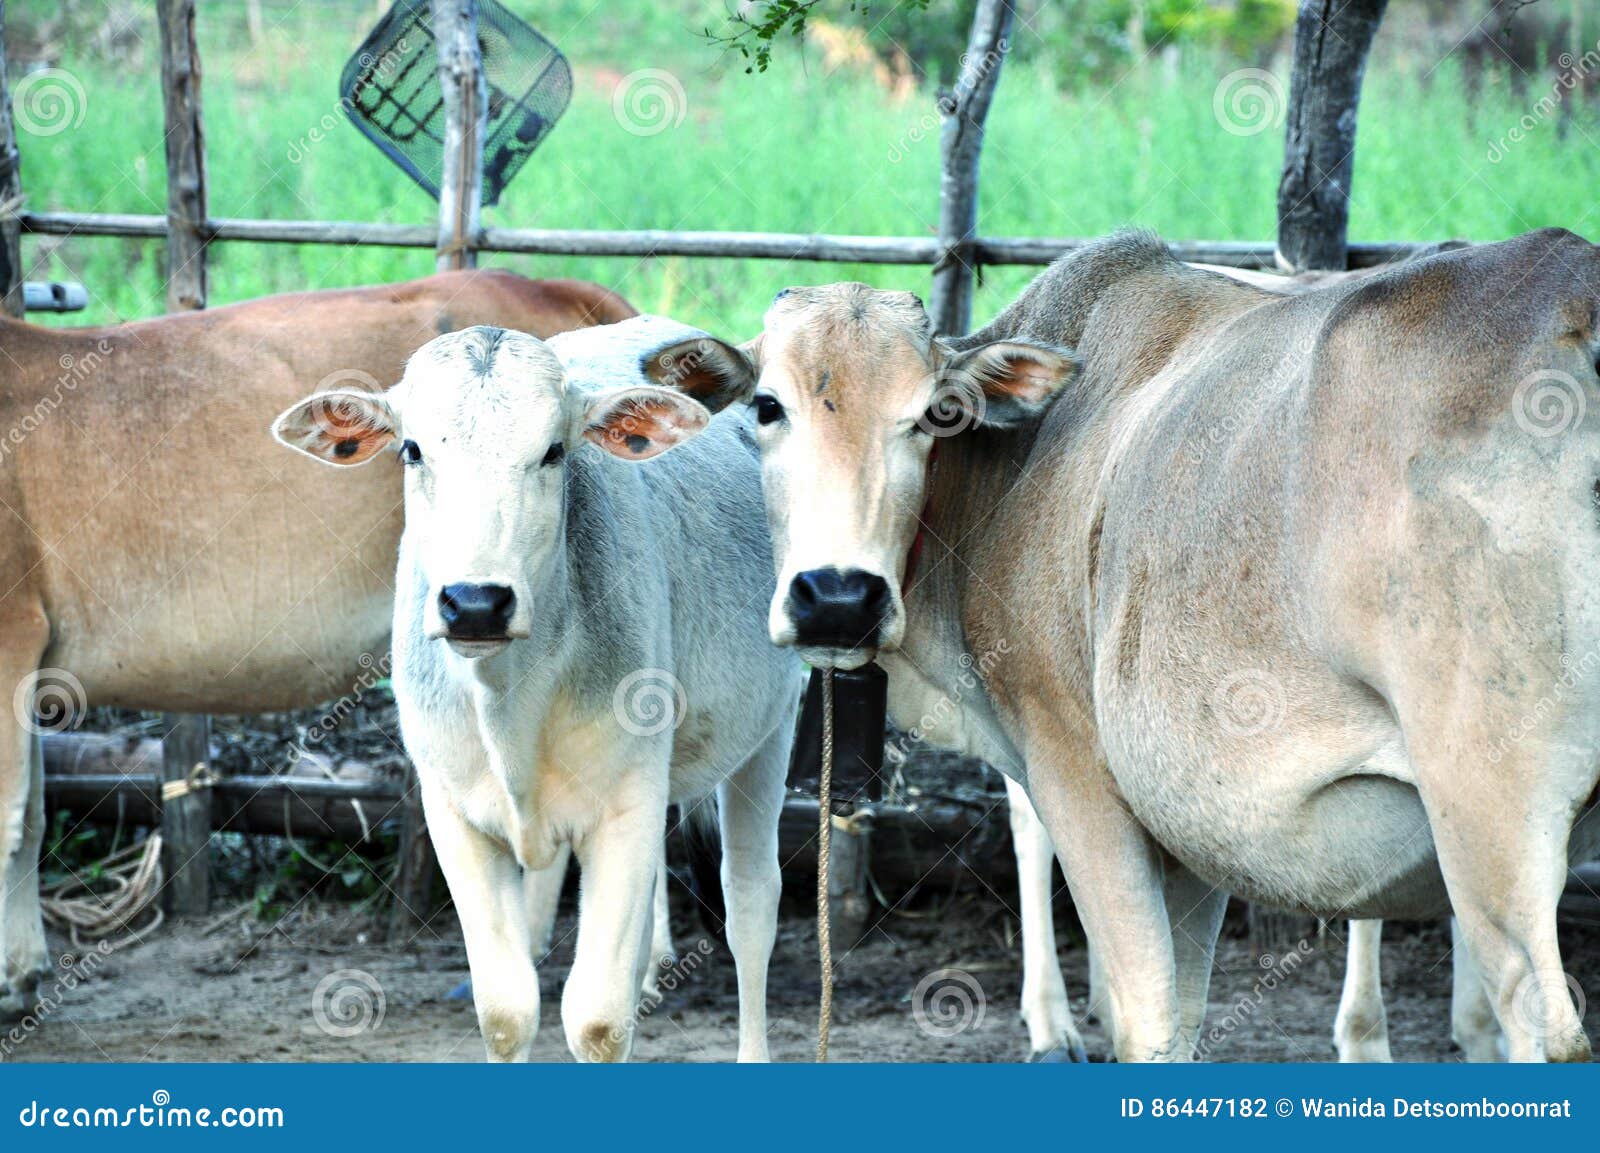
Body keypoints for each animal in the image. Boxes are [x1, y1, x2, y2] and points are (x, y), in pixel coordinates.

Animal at [0, 271, 632, 1021]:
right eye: (412, 449)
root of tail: (541, 281)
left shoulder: (10, 634)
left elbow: (7, 824)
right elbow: (34, 816)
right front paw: (23, 975)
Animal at [272, 317, 801, 1063]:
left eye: (553, 452)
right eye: (411, 449)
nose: (474, 603)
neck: (511, 701)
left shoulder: (625, 803)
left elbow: (598, 1020)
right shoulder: (455, 814)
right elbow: (507, 1008)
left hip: (771, 728)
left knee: (750, 905)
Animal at [639, 228, 1600, 1061]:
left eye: (933, 415)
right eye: (768, 407)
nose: (838, 597)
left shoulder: (1079, 774)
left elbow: (1148, 1024)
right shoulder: (1198, 831)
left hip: (1487, 821)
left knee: (1544, 1025)